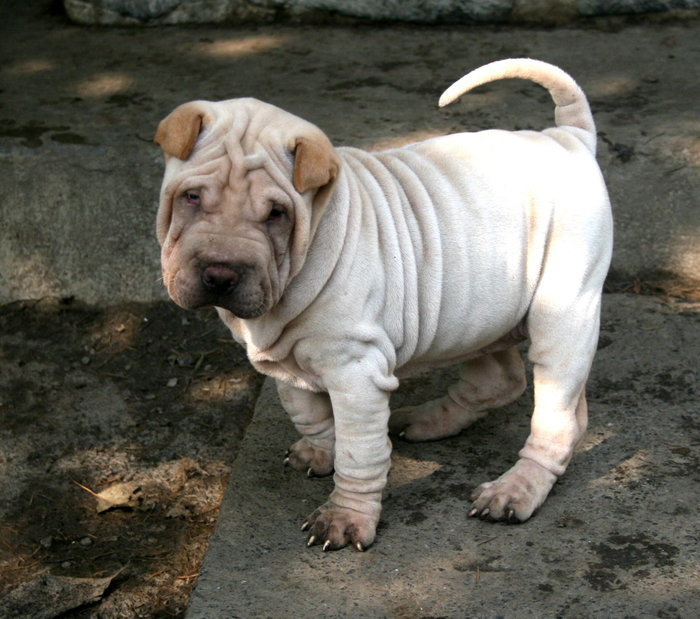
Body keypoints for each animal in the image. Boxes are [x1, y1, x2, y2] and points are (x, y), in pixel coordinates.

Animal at [154, 58, 612, 552]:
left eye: (277, 214)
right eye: (192, 197)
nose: (221, 274)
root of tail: (567, 137)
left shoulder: (357, 371)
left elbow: (360, 450)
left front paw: (345, 517)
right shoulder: (279, 358)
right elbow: (308, 413)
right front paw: (322, 451)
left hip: (562, 312)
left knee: (557, 418)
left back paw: (514, 490)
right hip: (483, 311)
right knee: (500, 380)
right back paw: (428, 420)